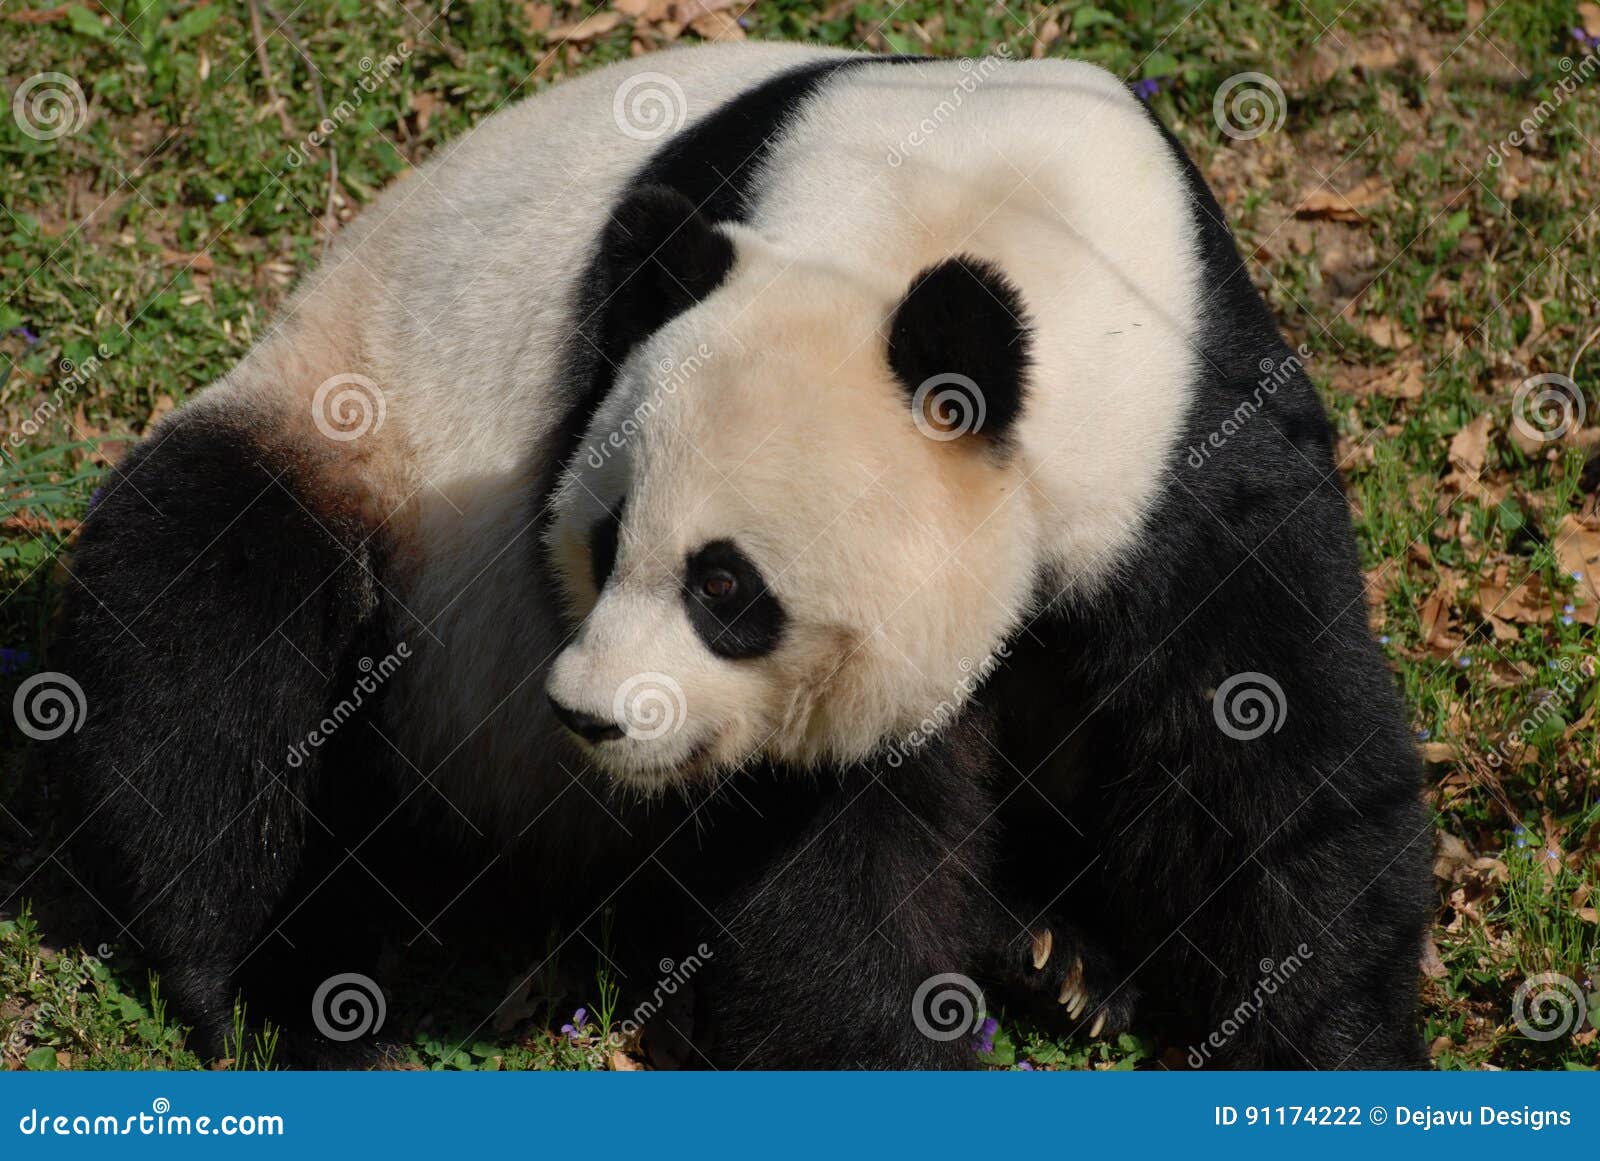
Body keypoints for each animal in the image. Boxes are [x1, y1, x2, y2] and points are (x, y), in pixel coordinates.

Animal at [50, 42, 1431, 1069]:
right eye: (600, 543)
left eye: (727, 589)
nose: (590, 718)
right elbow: (814, 857)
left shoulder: (1194, 440)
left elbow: (1268, 751)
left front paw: (1323, 1041)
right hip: (353, 449)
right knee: (211, 630)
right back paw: (275, 992)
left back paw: (1063, 960)